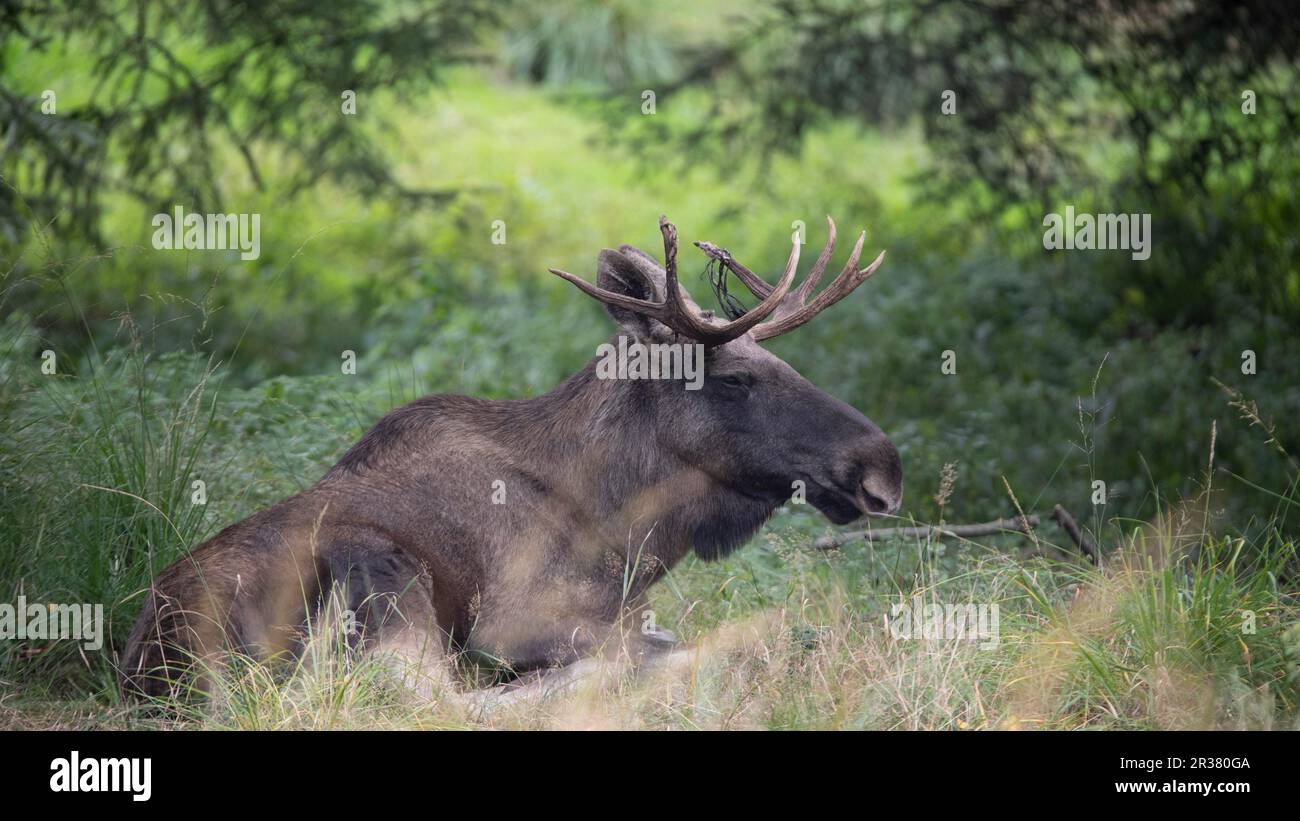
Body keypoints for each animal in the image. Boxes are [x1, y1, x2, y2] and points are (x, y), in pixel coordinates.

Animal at [120, 216, 902, 704]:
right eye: (736, 378)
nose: (883, 467)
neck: (624, 528)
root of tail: (154, 654)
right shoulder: (517, 622)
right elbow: (663, 641)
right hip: (378, 571)